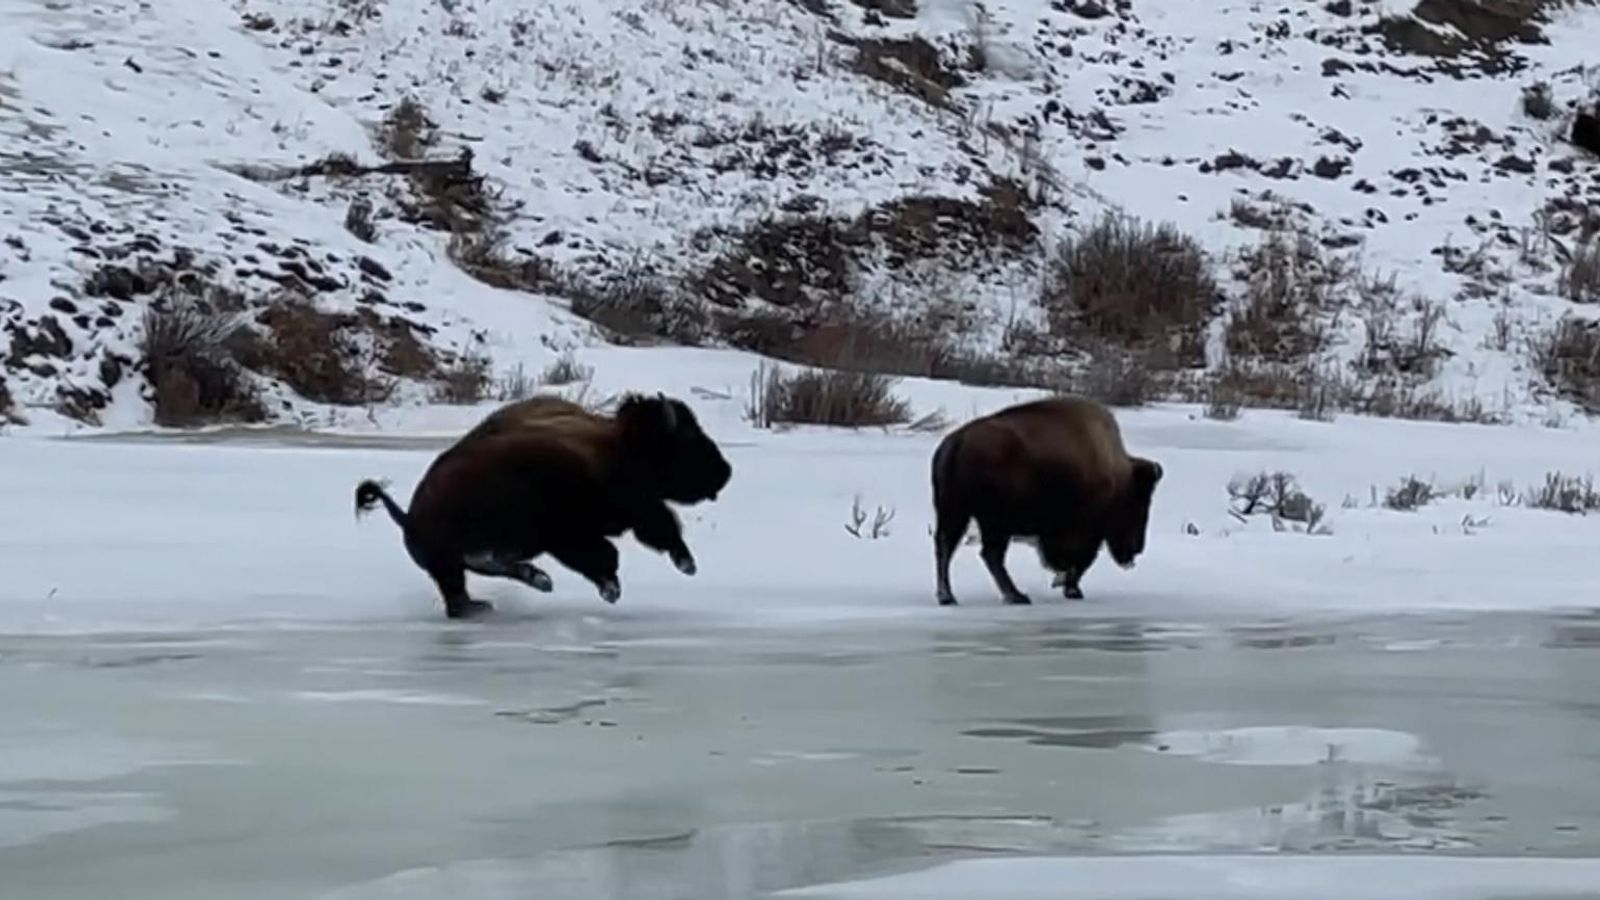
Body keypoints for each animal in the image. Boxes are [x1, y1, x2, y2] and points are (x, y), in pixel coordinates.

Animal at [355, 392, 733, 619]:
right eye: (688, 439)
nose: (725, 471)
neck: (618, 446)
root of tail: (407, 517)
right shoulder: (570, 532)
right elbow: (608, 554)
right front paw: (613, 588)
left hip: (459, 562)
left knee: (482, 573)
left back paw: (533, 581)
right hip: (451, 562)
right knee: (465, 587)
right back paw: (500, 598)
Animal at [930, 395, 1163, 606]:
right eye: (1140, 502)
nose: (1137, 548)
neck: (1116, 474)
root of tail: (957, 442)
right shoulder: (1084, 530)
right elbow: (1082, 560)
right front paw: (1070, 588)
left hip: (956, 511)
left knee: (946, 547)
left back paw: (947, 596)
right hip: (993, 520)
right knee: (989, 554)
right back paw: (1016, 596)